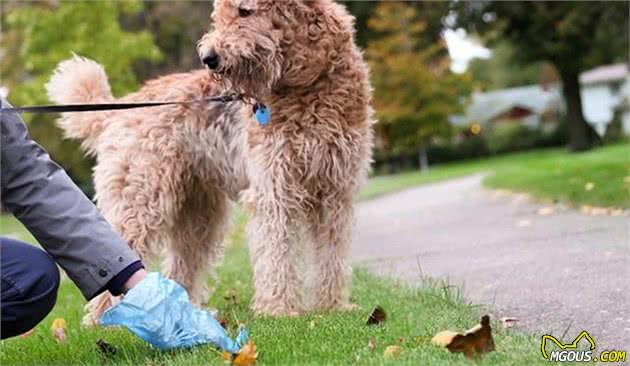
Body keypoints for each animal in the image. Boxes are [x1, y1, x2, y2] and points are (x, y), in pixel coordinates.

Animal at [49, 0, 376, 324]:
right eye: (218, 16)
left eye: (244, 11)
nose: (209, 58)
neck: (309, 84)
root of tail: (116, 110)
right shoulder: (273, 189)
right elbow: (276, 252)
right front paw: (279, 309)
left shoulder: (336, 191)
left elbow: (332, 254)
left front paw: (333, 306)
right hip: (140, 198)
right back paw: (105, 321)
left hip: (198, 214)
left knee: (182, 264)